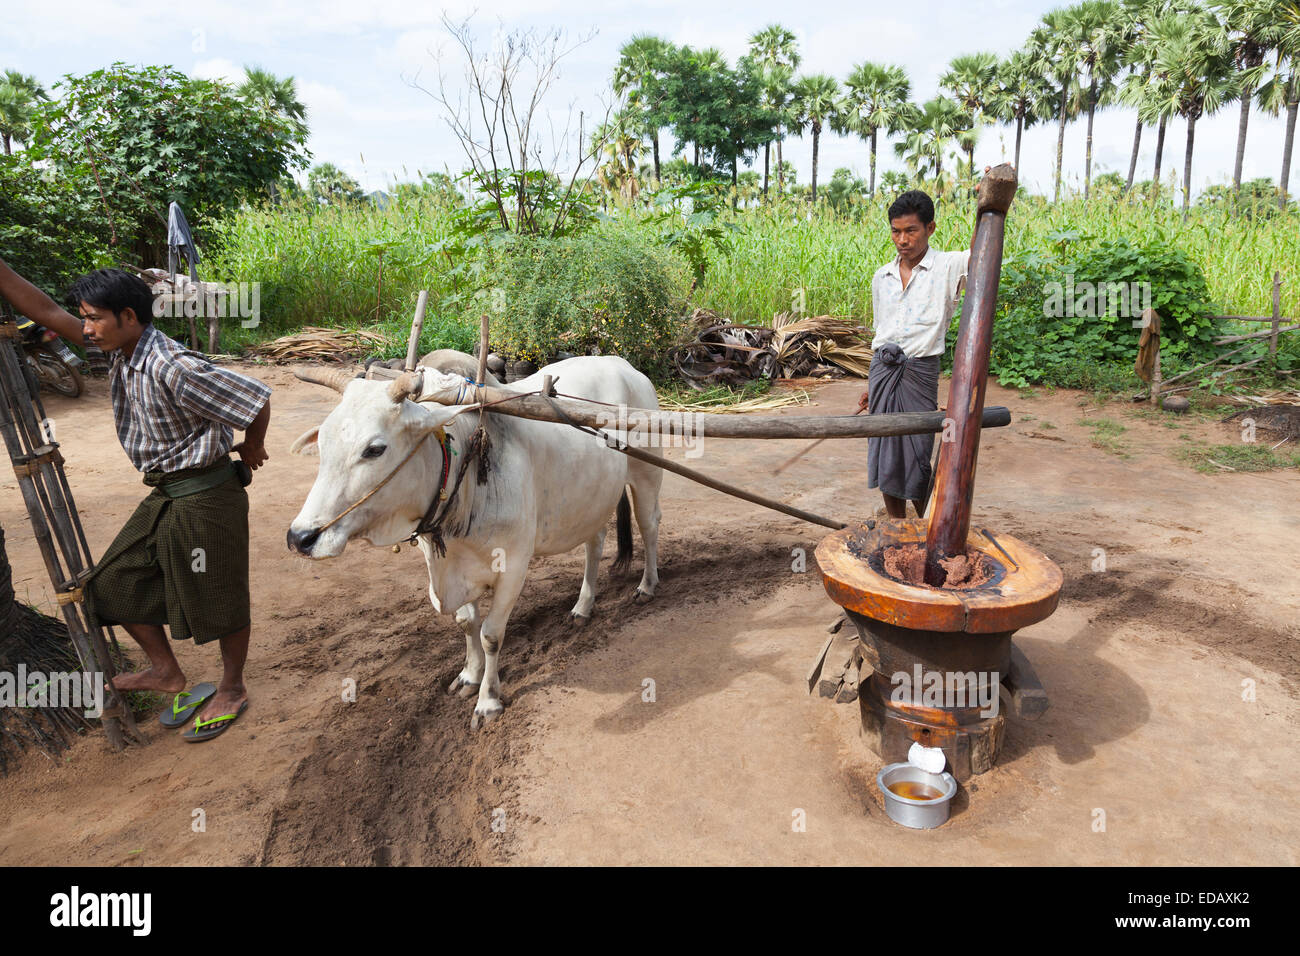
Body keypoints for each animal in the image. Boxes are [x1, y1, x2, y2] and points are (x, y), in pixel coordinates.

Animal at [287, 350, 663, 728]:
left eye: (375, 449)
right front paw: (469, 676)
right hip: (592, 501)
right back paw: (583, 606)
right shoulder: (448, 560)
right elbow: (467, 623)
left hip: (646, 475)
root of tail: (622, 365)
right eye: (323, 443)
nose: (301, 537)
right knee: (595, 542)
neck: (465, 472)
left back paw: (647, 586)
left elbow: (491, 635)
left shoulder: (513, 567)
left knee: (649, 526)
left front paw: (488, 701)